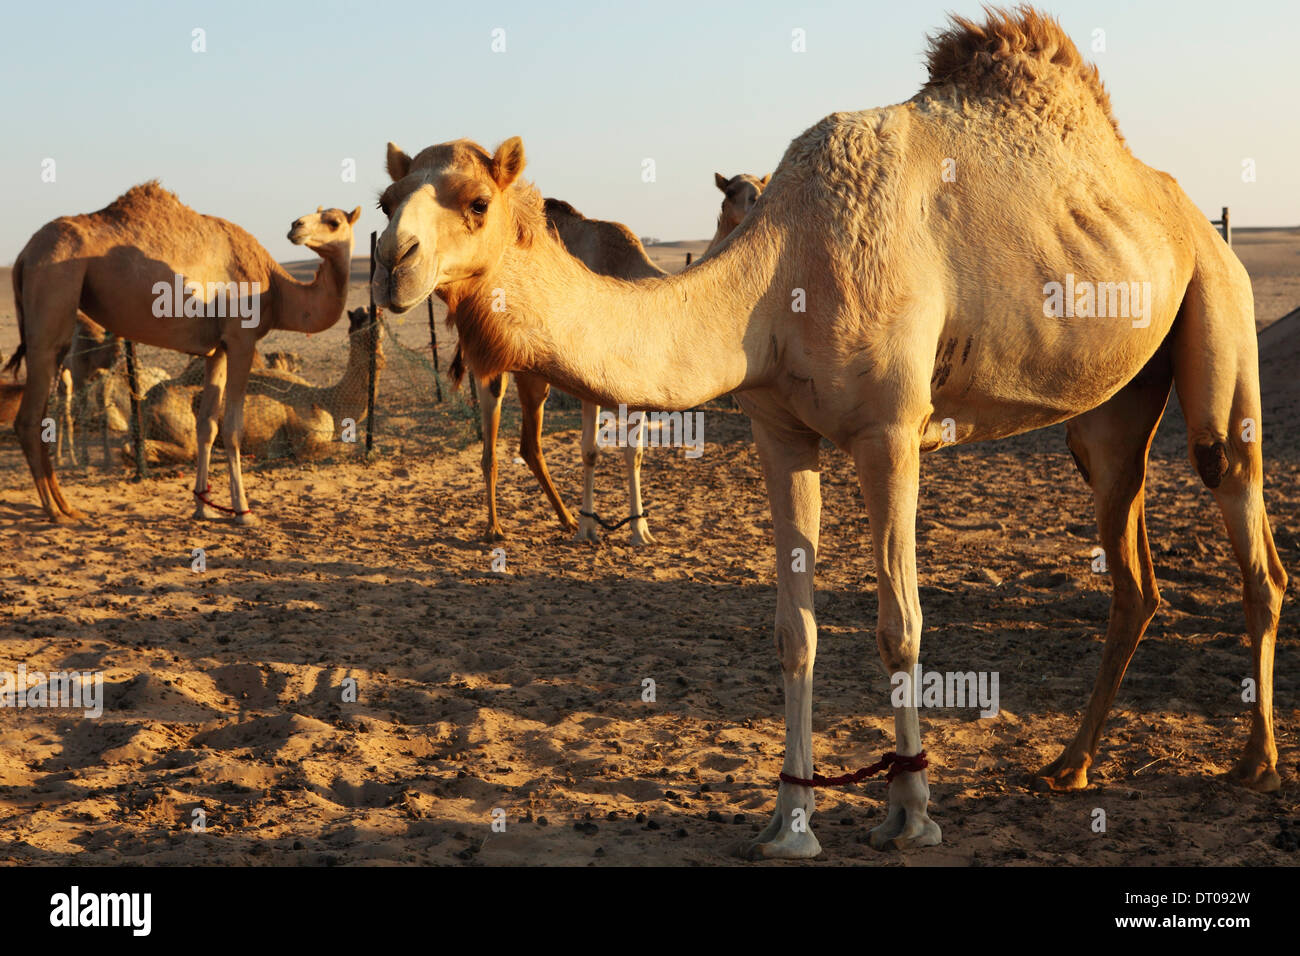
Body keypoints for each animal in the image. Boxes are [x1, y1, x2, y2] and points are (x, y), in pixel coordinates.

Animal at [136, 306, 382, 464]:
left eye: (376, 313)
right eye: (361, 317)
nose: (378, 321)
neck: (327, 401)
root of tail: (145, 401)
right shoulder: (307, 444)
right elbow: (358, 447)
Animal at [373, 6, 1287, 859]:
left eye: (476, 202)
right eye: (383, 203)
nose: (388, 262)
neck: (782, 270)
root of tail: (1195, 218)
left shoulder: (891, 431)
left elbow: (899, 623)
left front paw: (911, 813)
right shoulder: (781, 432)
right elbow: (795, 632)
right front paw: (791, 820)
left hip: (1219, 305)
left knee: (1244, 515)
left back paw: (1254, 760)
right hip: (1111, 409)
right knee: (1131, 566)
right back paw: (1070, 765)